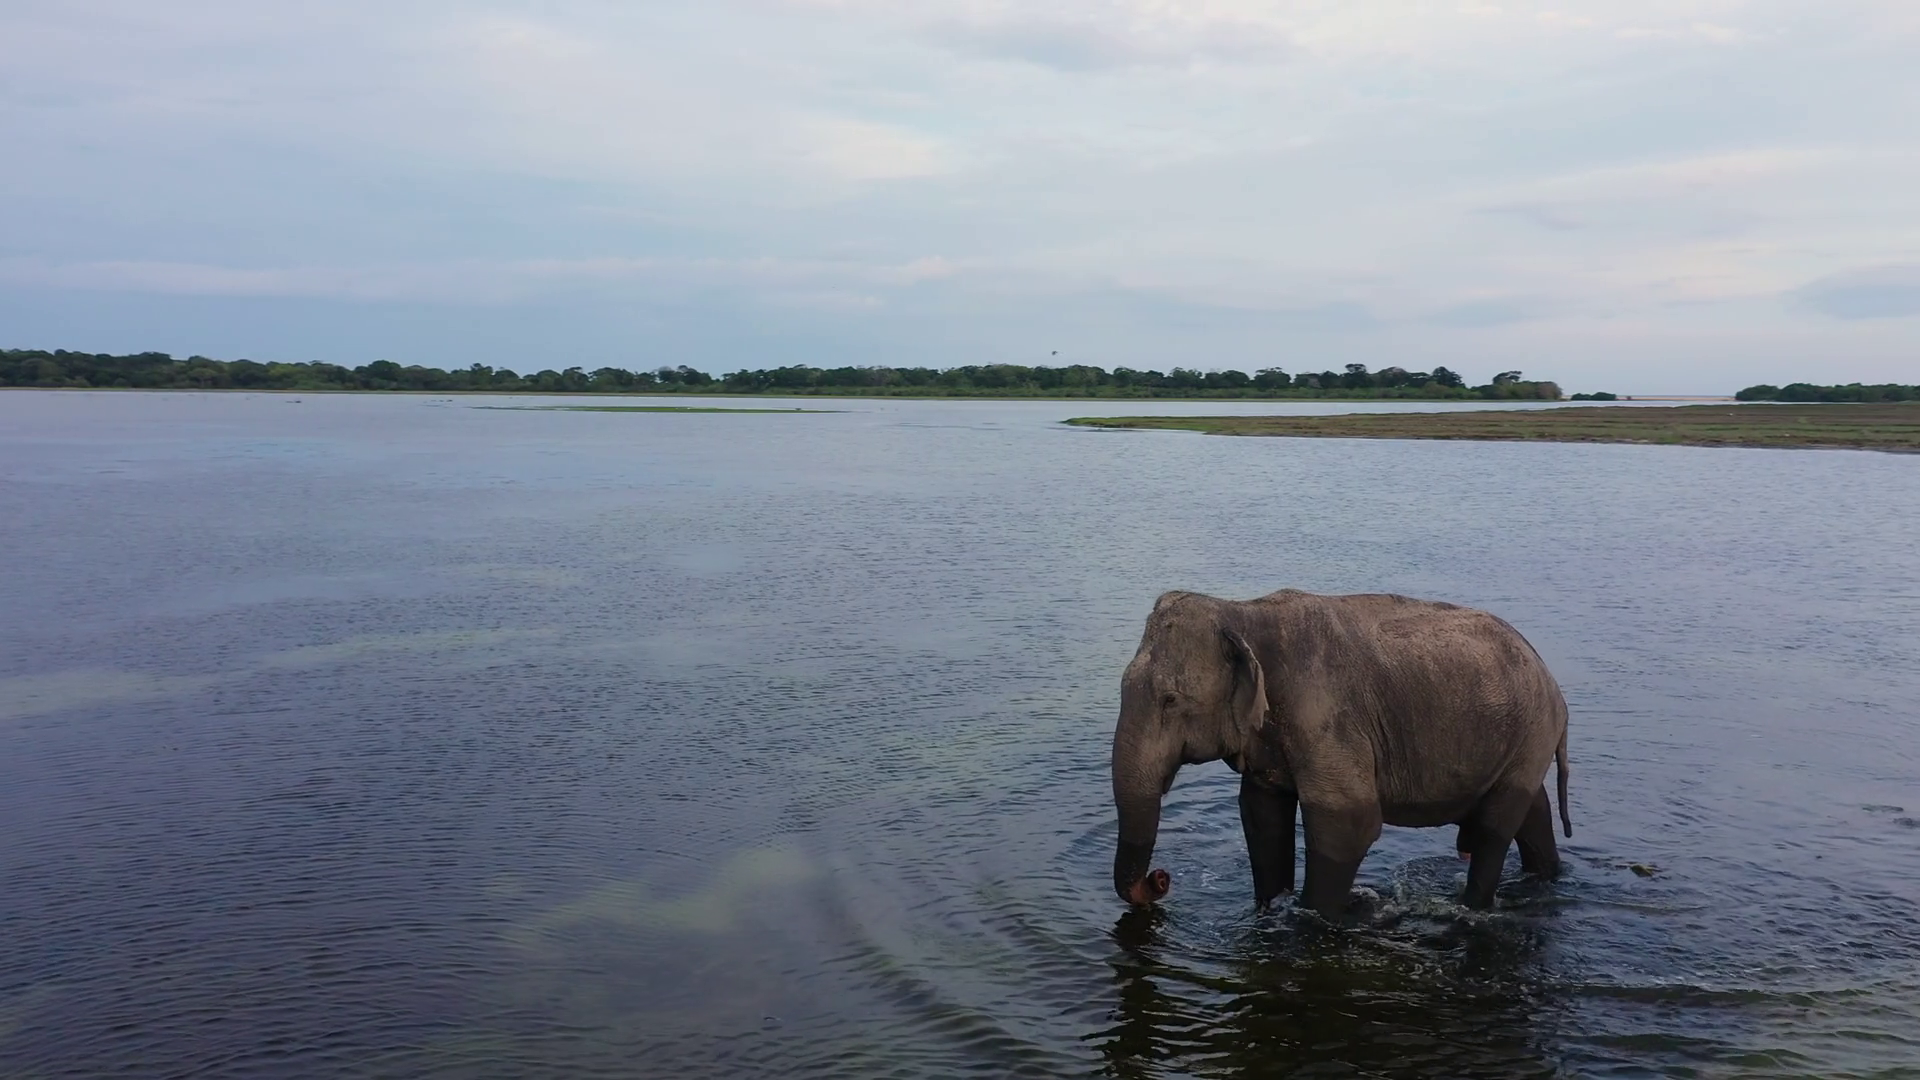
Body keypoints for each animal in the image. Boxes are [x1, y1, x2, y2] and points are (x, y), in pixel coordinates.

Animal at [1111, 589, 1571, 918]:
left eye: (1170, 700)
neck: (1243, 613)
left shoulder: (1327, 717)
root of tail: (1555, 686)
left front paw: (1318, 915)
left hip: (1531, 732)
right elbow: (1262, 816)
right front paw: (1271, 909)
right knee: (1532, 812)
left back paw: (1473, 907)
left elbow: (1348, 823)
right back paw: (1545, 882)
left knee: (1496, 827)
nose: (1160, 878)